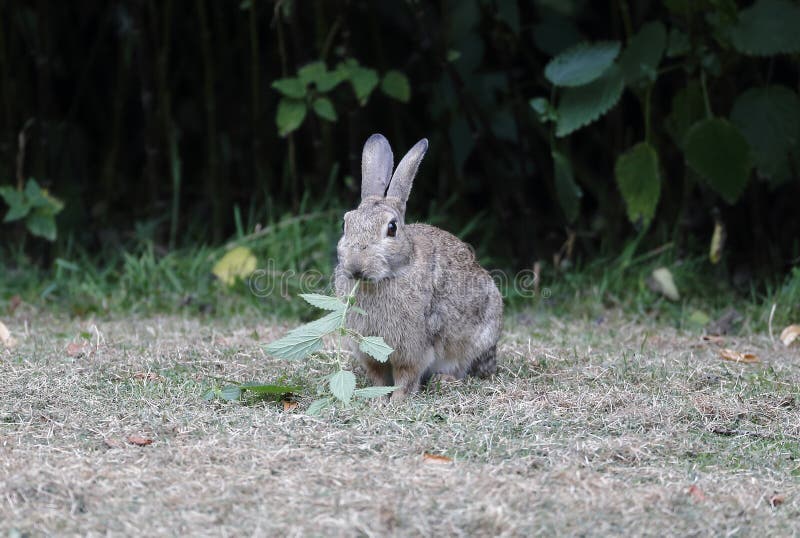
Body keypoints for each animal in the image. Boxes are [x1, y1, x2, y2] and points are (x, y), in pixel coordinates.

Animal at [334, 133, 503, 402]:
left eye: (392, 228)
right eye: (345, 224)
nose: (356, 264)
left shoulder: (413, 348)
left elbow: (406, 377)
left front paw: (397, 401)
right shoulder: (369, 351)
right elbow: (377, 376)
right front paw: (377, 399)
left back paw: (444, 380)